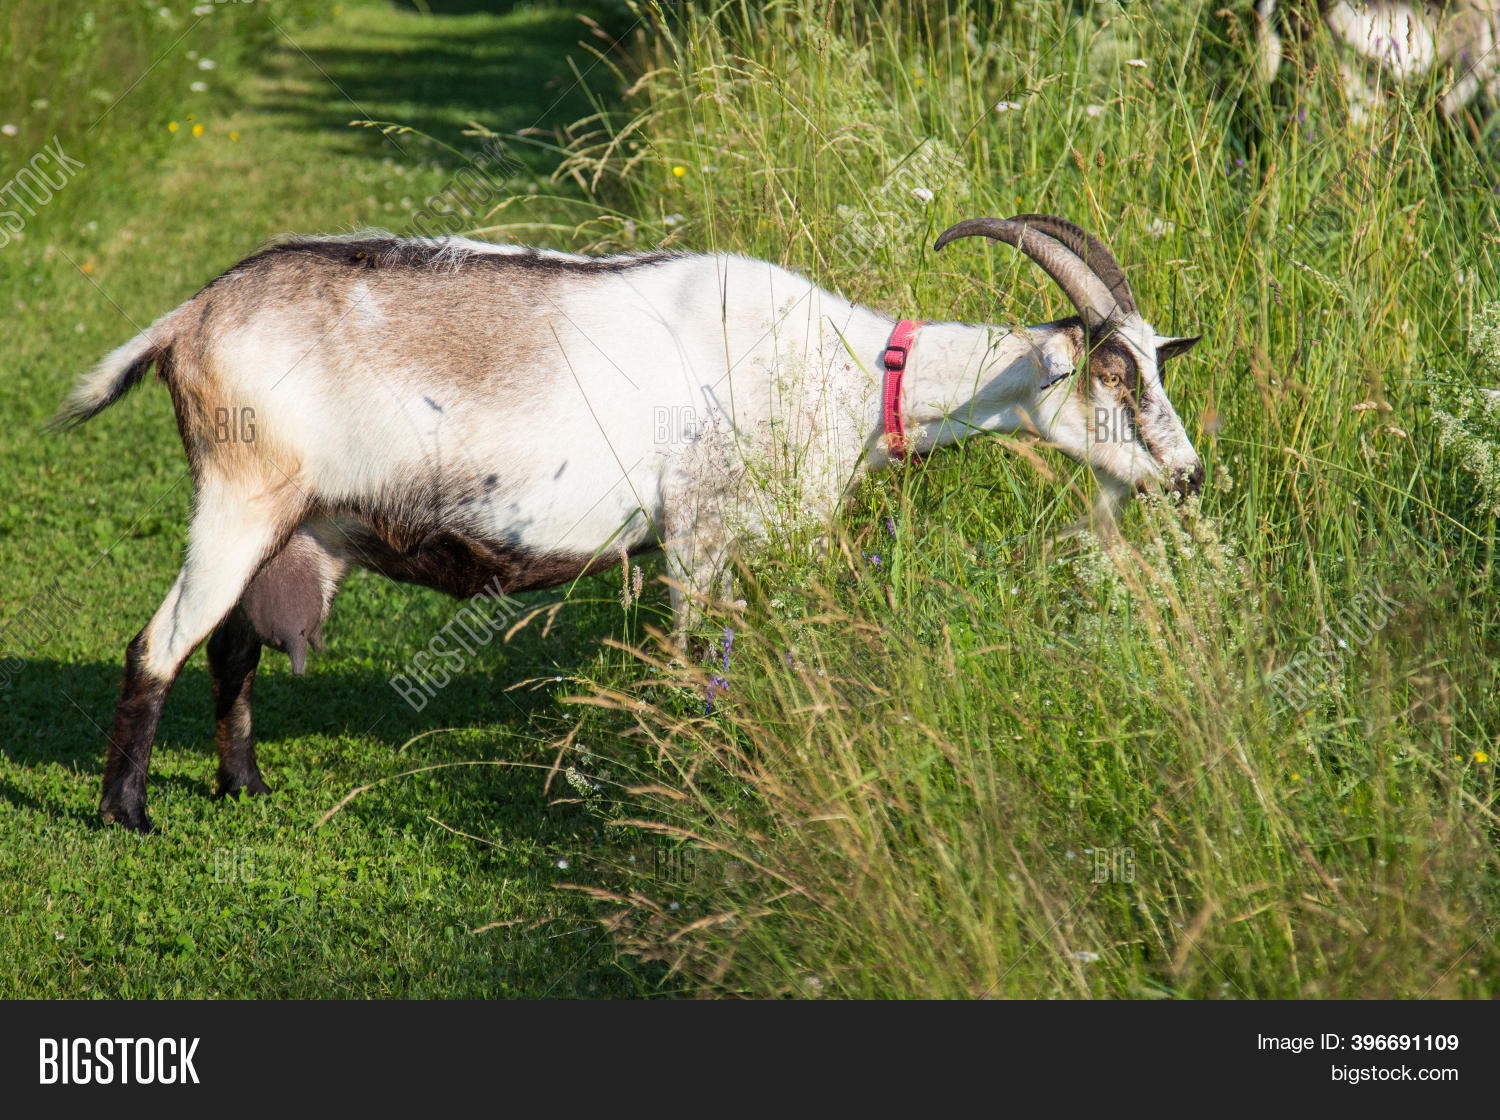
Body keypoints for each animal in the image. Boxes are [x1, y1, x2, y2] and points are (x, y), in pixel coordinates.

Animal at [54, 214, 1203, 831]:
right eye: (1112, 370)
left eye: (1157, 360)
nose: (1188, 476)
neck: (842, 369)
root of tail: (188, 319)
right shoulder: (697, 534)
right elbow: (692, 664)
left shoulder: (717, 548)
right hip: (239, 492)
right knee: (157, 642)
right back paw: (128, 812)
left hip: (300, 523)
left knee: (233, 646)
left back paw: (243, 785)